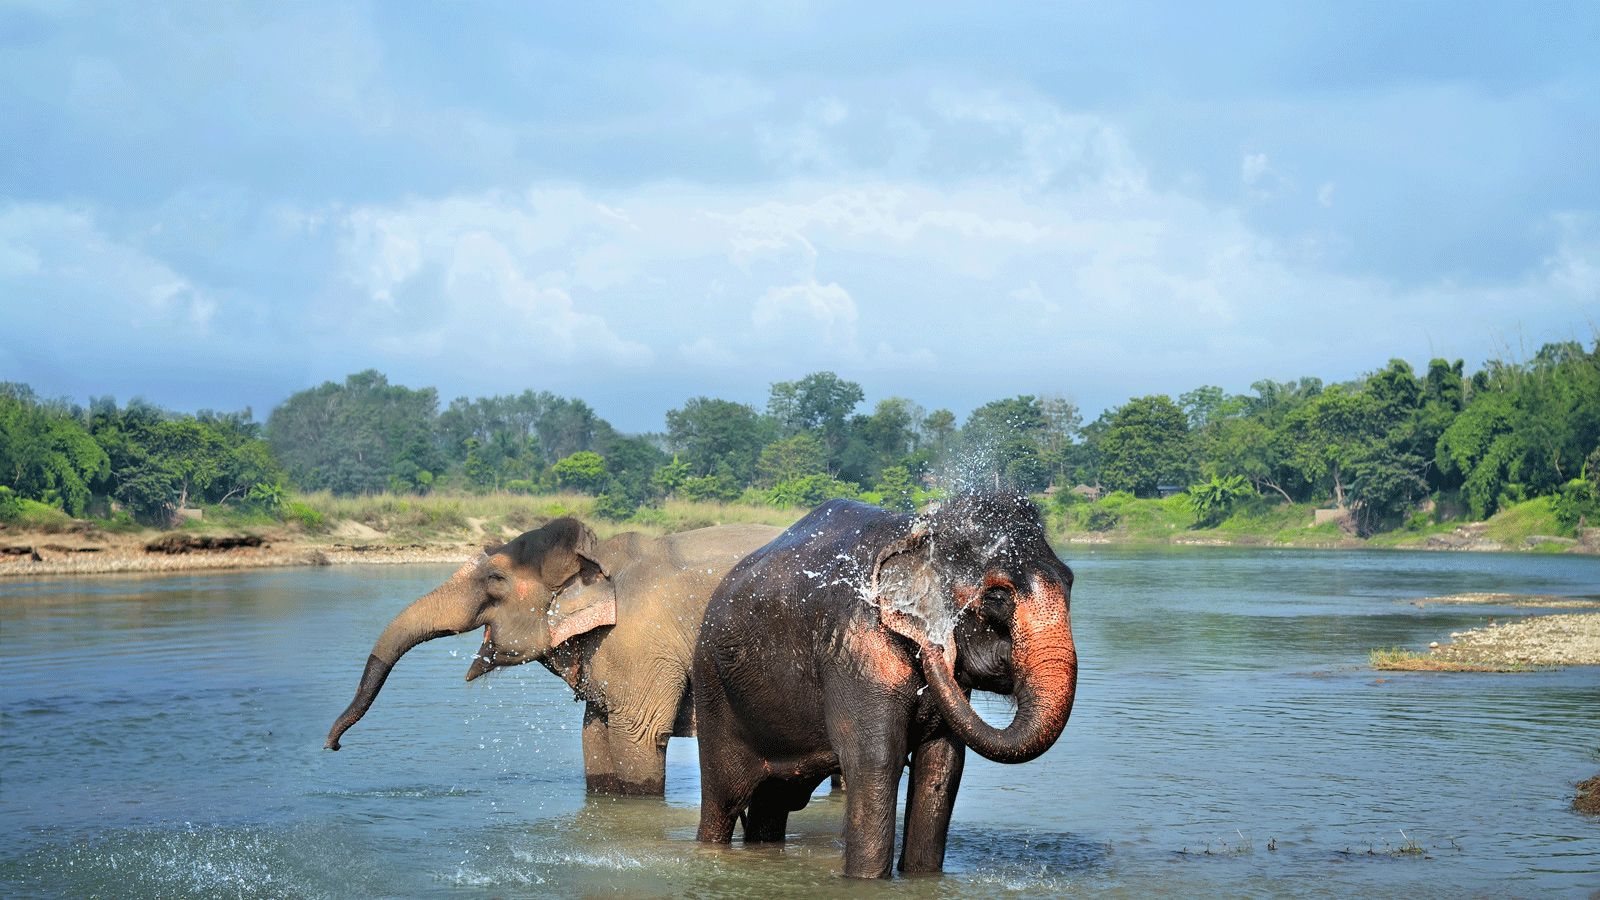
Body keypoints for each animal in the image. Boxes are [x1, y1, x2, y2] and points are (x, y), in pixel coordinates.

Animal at [325, 517, 783, 796]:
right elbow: (593, 732)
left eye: (495, 578)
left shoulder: (643, 644)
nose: (332, 746)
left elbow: (640, 736)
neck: (599, 556)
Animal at [693, 493, 1078, 878]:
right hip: (713, 692)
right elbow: (875, 761)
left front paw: (921, 878)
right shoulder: (857, 650)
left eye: (1071, 583)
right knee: (723, 802)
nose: (935, 647)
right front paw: (866, 881)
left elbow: (941, 767)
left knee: (773, 802)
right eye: (998, 598)